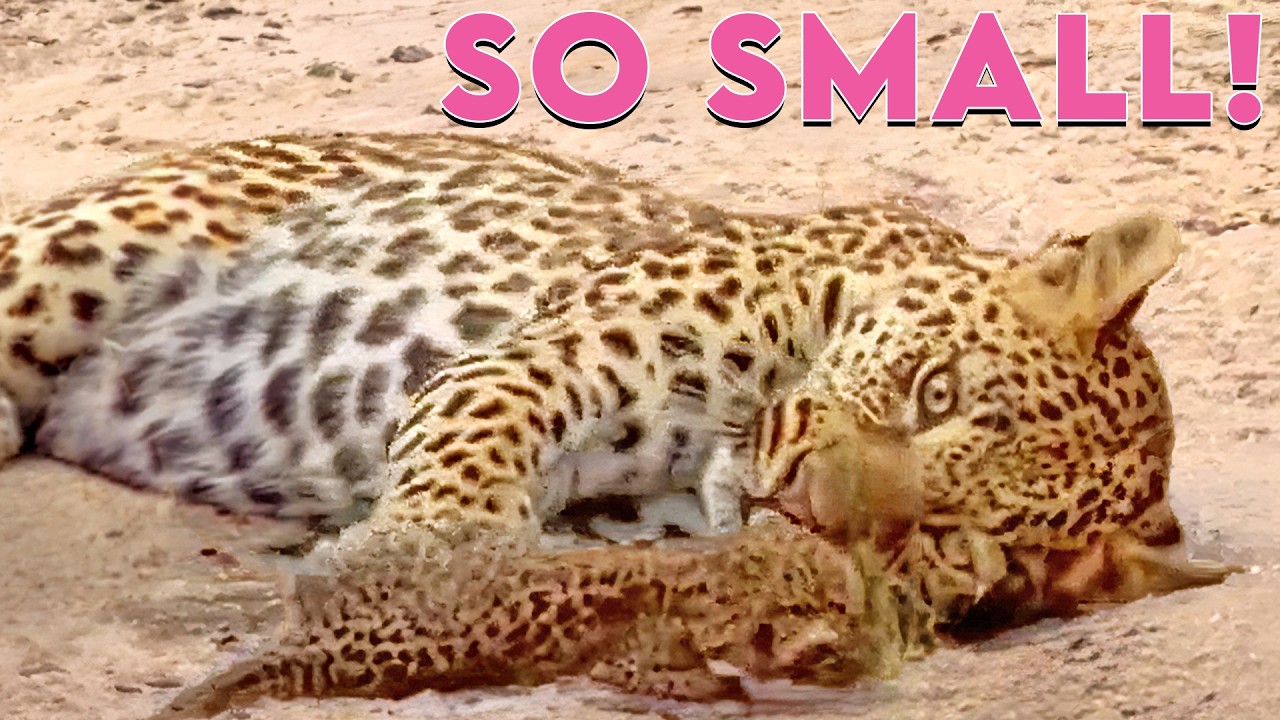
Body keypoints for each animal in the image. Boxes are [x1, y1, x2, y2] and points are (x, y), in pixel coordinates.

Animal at [1, 134, 1235, 715]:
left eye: (945, 543)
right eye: (936, 394)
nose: (802, 500)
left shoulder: (638, 544)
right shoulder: (545, 358)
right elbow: (474, 458)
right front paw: (411, 560)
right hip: (60, 264)